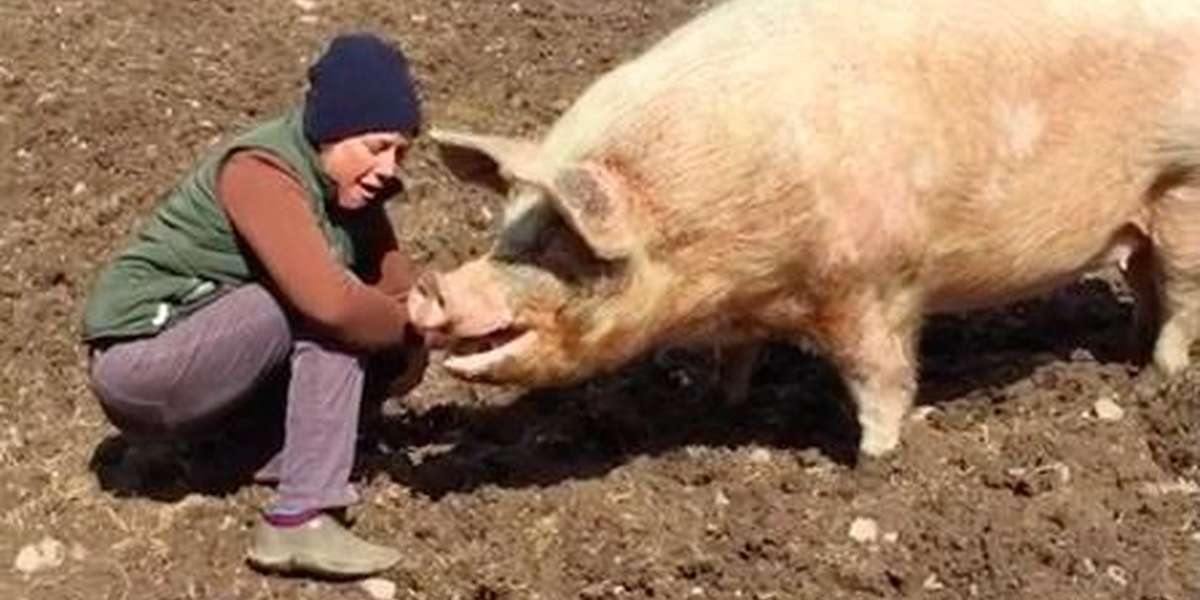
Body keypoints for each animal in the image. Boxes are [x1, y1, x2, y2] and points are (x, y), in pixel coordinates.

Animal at [409, 0, 1200, 459]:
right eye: (507, 227)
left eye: (564, 248)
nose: (435, 290)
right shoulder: (745, 306)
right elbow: (736, 358)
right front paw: (714, 409)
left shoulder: (871, 281)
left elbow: (879, 375)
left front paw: (873, 461)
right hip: (1143, 208)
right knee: (1142, 279)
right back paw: (1126, 354)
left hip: (1183, 187)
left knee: (1181, 296)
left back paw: (1158, 378)